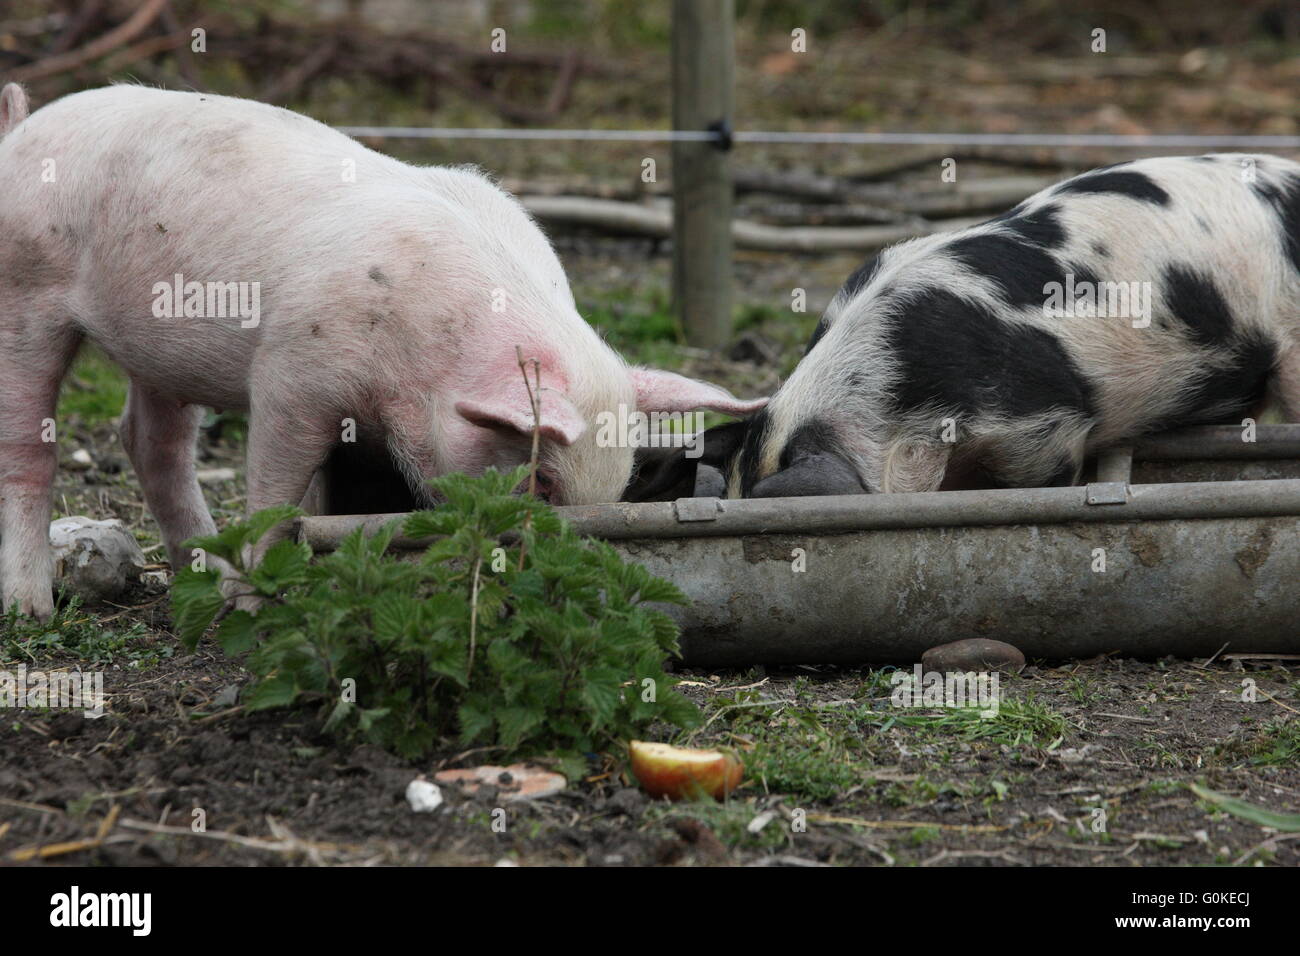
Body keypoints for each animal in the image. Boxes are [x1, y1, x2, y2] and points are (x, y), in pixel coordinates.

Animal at [0, 84, 764, 620]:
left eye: (621, 486)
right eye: (542, 481)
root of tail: (22, 128)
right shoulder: (290, 375)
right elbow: (277, 494)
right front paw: (253, 604)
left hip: (160, 351)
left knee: (151, 442)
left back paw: (200, 574)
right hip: (26, 293)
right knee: (28, 448)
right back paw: (33, 607)